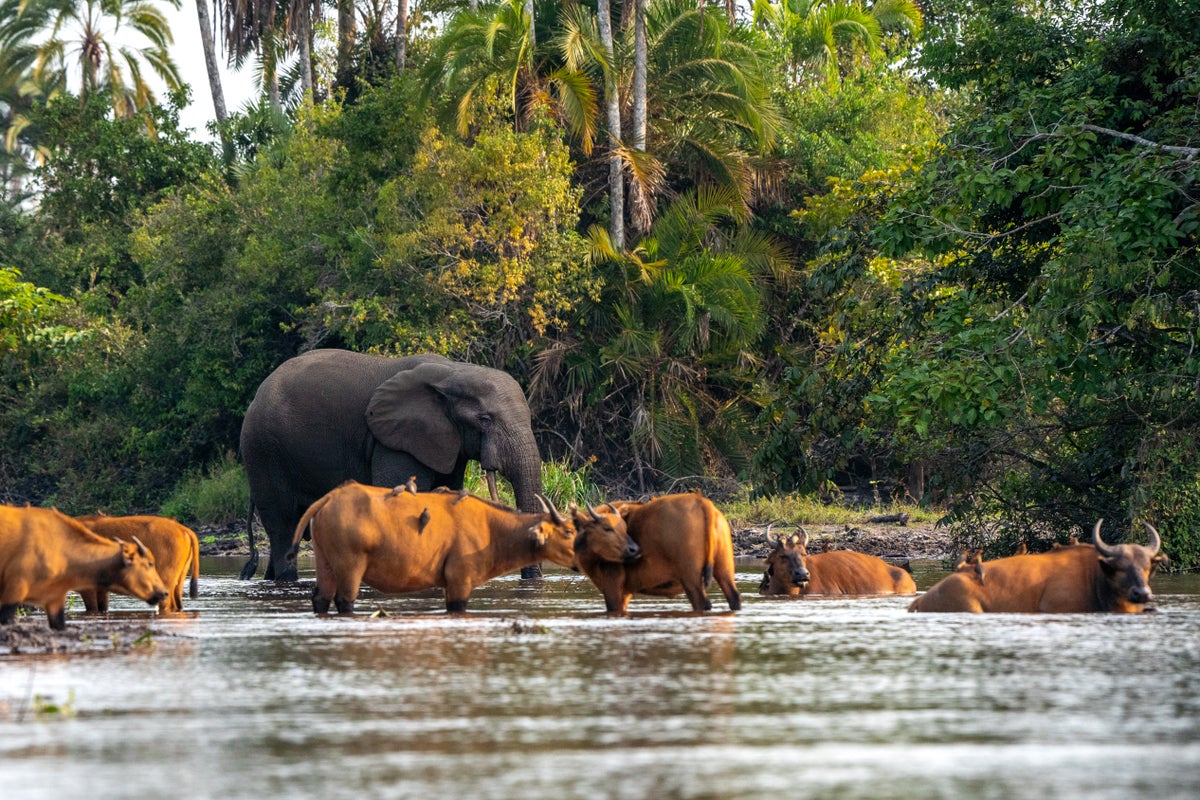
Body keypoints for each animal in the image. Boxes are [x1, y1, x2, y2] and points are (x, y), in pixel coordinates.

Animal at [238, 349, 544, 581]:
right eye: (484, 420)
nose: (533, 578)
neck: (453, 373)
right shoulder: (393, 441)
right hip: (263, 450)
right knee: (283, 524)